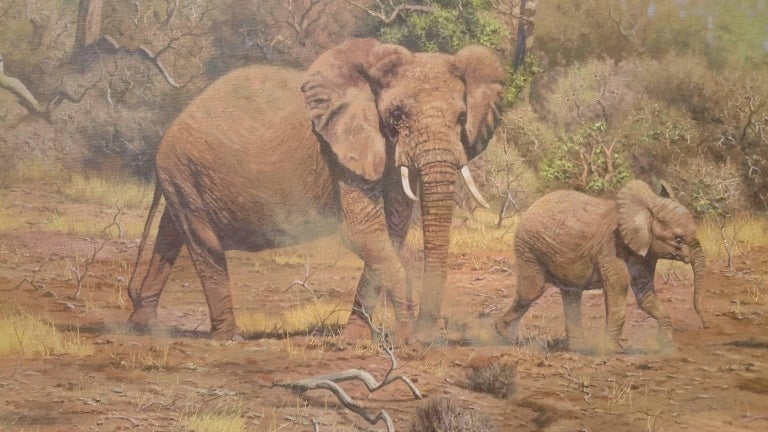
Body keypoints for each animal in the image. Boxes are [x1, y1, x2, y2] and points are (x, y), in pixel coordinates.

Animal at [126, 38, 505, 341]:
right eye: (397, 116)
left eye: (461, 119)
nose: (429, 333)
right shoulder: (341, 151)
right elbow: (364, 234)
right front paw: (406, 337)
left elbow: (391, 232)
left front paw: (355, 338)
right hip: (184, 169)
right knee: (203, 242)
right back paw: (229, 338)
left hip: (184, 177)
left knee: (171, 233)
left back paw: (144, 327)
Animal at [494, 180, 707, 352]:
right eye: (678, 240)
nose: (705, 325)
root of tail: (531, 207)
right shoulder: (612, 248)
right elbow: (618, 288)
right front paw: (610, 350)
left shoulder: (644, 253)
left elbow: (645, 295)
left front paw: (665, 345)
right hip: (529, 248)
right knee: (531, 291)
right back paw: (506, 336)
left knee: (571, 294)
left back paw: (579, 349)